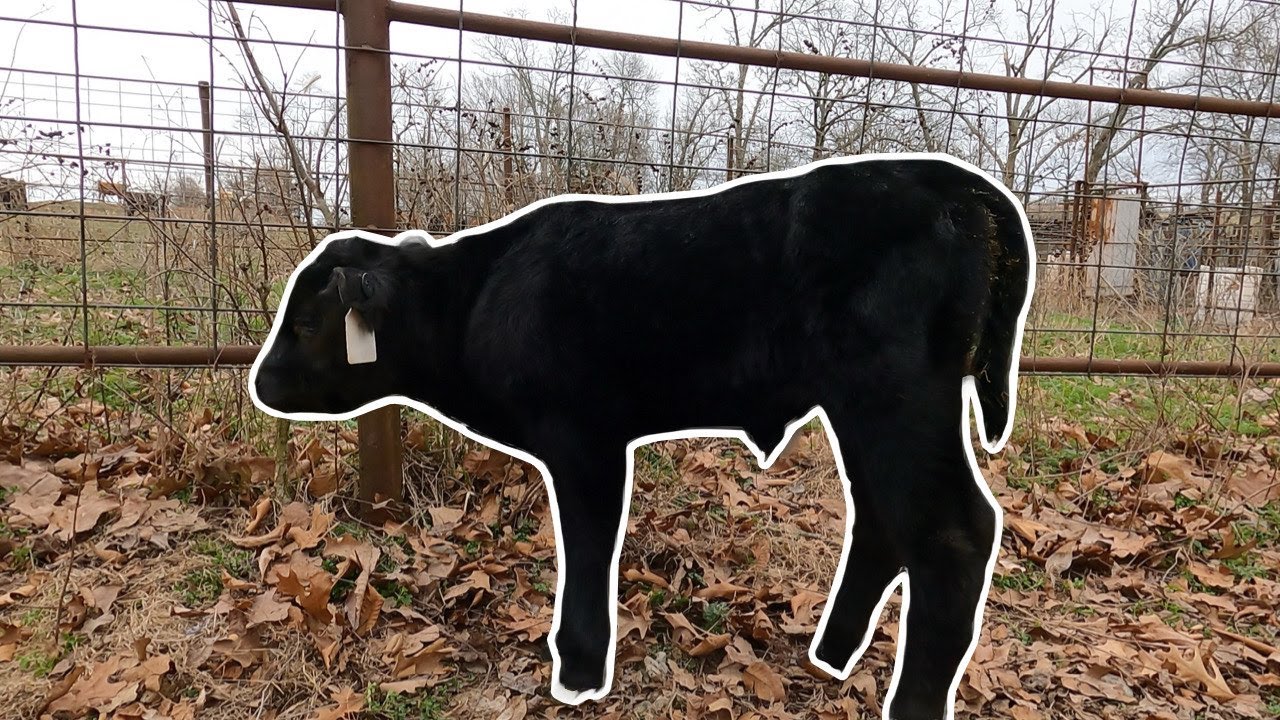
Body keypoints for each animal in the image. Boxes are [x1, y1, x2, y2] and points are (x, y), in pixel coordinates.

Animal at [250, 152, 1035, 720]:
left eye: (309, 322)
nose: (263, 382)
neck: (478, 294)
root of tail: (949, 180)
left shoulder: (585, 444)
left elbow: (590, 553)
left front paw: (578, 668)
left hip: (897, 404)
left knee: (953, 534)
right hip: (863, 412)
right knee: (878, 521)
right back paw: (831, 653)